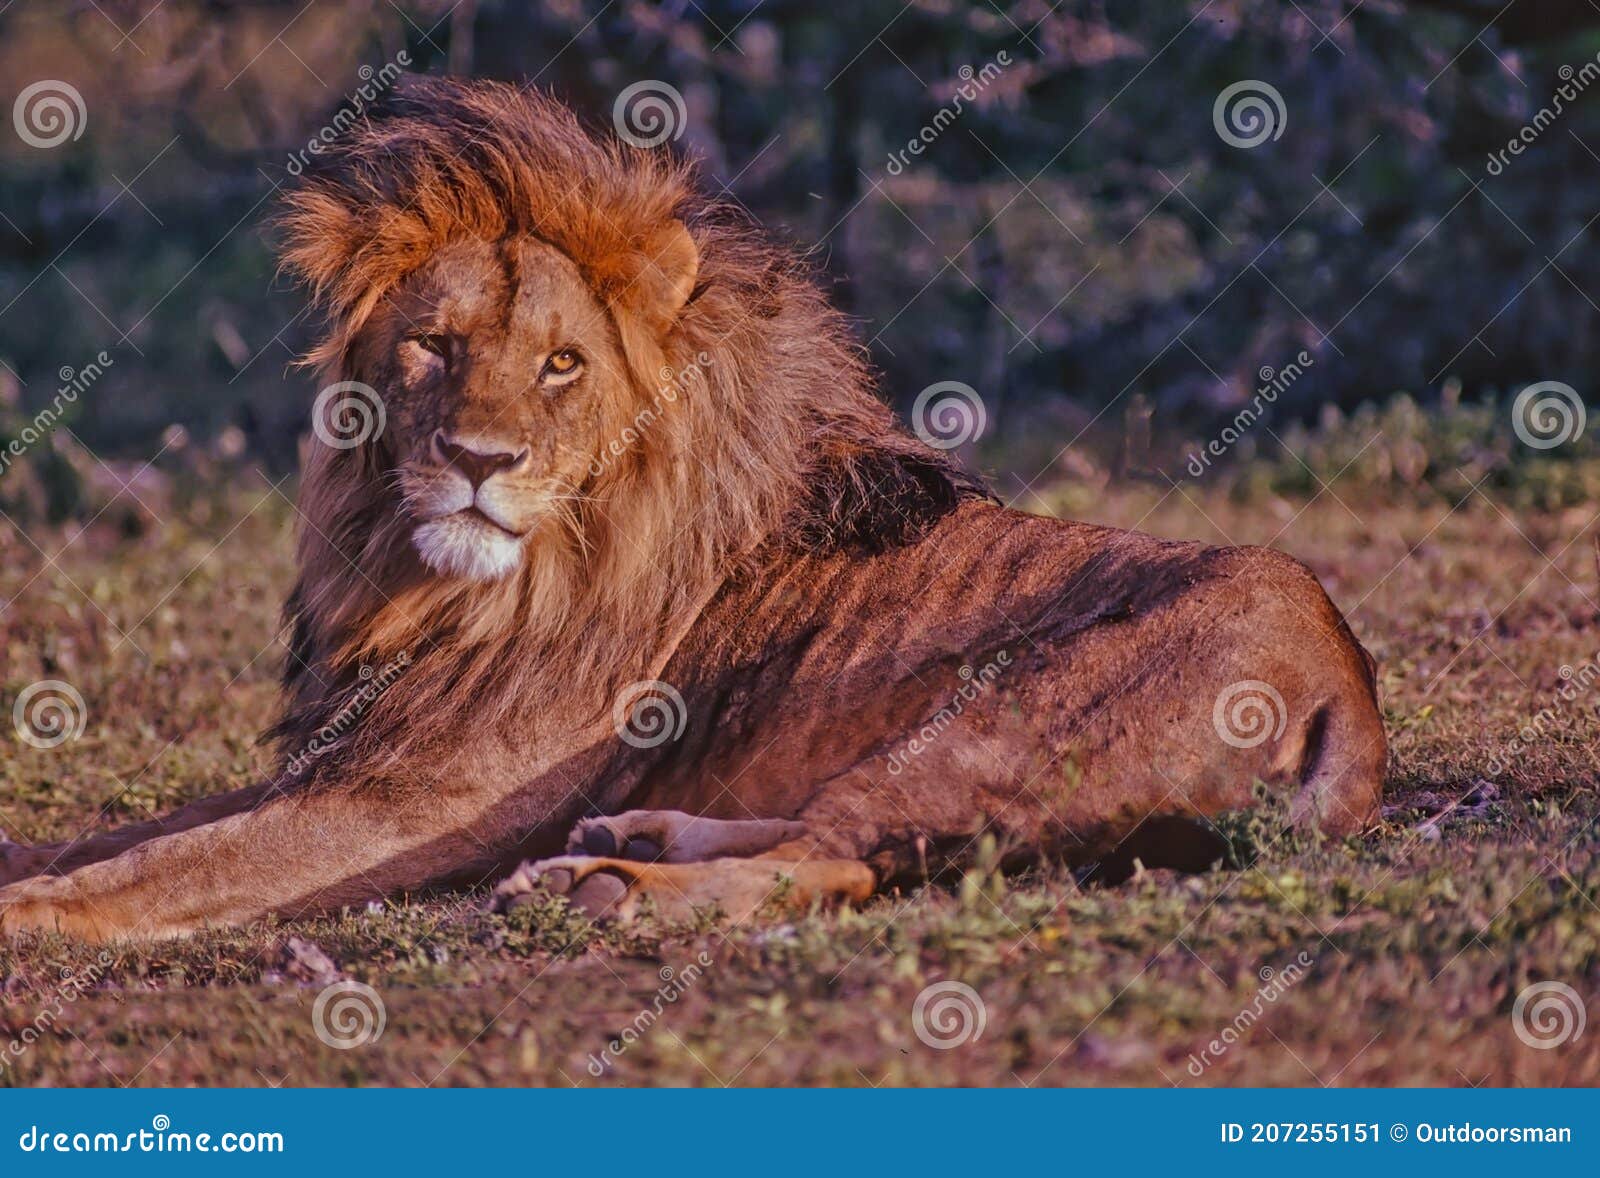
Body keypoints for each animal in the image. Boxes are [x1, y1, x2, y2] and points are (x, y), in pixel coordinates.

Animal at [0, 79, 1385, 942]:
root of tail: (1349, 688)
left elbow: (167, 861)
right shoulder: (353, 754)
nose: (476, 459)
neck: (440, 581)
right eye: (435, 345)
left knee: (835, 857)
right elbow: (126, 832)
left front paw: (30, 918)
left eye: (561, 363)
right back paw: (634, 830)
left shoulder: (412, 798)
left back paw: (602, 885)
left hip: (999, 719)